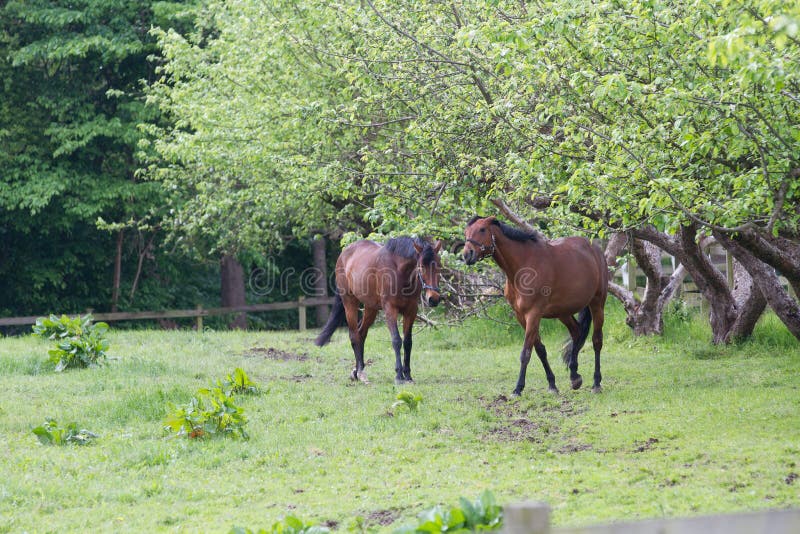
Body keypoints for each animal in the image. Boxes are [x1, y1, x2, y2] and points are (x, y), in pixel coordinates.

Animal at [315, 237, 442, 384]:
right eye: (421, 266)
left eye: (439, 265)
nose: (433, 299)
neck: (399, 271)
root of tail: (344, 254)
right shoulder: (390, 309)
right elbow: (396, 340)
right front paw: (399, 376)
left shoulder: (411, 311)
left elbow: (408, 342)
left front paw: (408, 375)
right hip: (349, 302)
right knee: (354, 336)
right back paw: (361, 372)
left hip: (371, 308)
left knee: (361, 333)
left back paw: (357, 371)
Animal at [462, 216, 607, 396]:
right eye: (466, 231)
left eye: (482, 229)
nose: (467, 254)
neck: (523, 266)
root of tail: (595, 249)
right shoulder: (521, 317)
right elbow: (540, 350)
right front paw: (552, 384)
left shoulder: (533, 314)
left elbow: (526, 352)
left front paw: (518, 388)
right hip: (563, 312)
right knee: (576, 332)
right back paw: (574, 376)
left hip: (597, 304)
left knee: (596, 341)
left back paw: (596, 382)